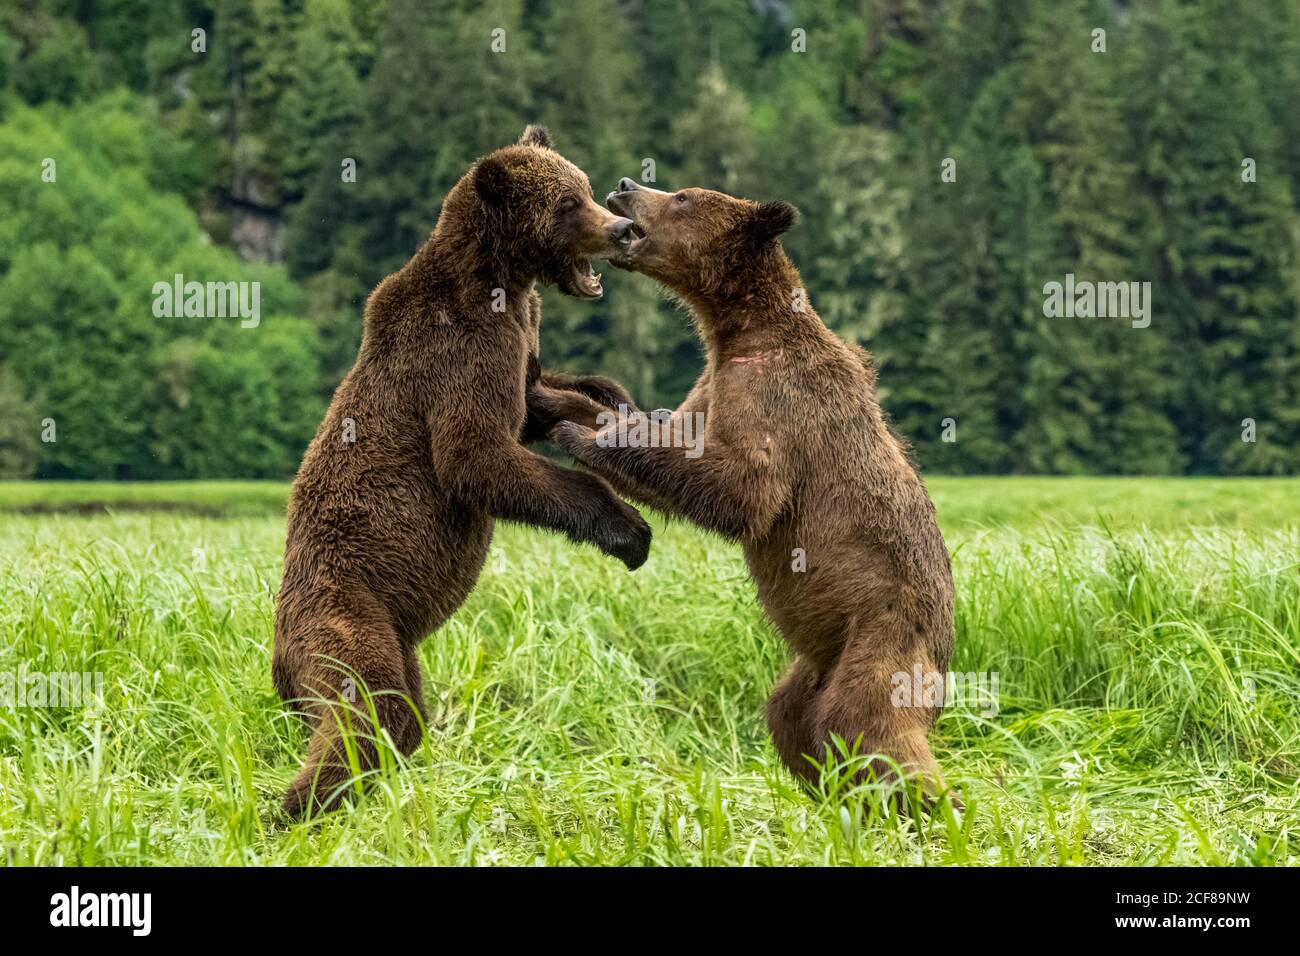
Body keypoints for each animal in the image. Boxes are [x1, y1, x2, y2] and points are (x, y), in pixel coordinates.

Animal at [273, 126, 650, 818]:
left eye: (585, 186)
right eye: (568, 205)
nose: (622, 228)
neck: (502, 280)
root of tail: (279, 654)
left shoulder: (520, 337)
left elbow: (534, 402)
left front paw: (612, 400)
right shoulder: (460, 348)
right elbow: (477, 457)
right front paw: (628, 529)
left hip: (396, 642)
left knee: (399, 719)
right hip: (346, 615)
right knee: (364, 715)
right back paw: (296, 805)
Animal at [551, 177, 957, 807]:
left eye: (683, 197)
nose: (625, 185)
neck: (737, 330)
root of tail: (948, 653)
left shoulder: (778, 399)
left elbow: (743, 489)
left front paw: (590, 434)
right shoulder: (713, 383)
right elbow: (674, 442)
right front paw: (573, 400)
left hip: (884, 636)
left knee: (868, 728)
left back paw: (936, 804)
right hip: (818, 661)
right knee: (791, 720)